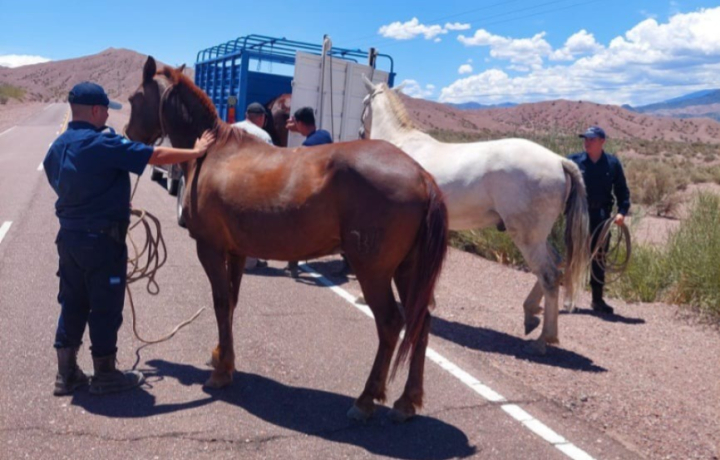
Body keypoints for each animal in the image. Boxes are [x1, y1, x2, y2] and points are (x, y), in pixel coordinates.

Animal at [124, 57, 449, 422]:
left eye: (134, 98)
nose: (128, 136)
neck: (212, 152)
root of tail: (421, 176)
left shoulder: (209, 248)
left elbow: (220, 302)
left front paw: (220, 373)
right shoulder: (236, 252)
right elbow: (231, 302)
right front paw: (223, 357)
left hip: (374, 272)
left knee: (391, 324)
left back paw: (366, 400)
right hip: (408, 270)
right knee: (420, 323)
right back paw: (407, 402)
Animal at [360, 77, 590, 355]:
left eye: (364, 102)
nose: (360, 133)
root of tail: (558, 160)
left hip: (527, 237)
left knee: (548, 275)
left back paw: (544, 339)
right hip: (537, 236)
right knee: (554, 264)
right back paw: (531, 314)